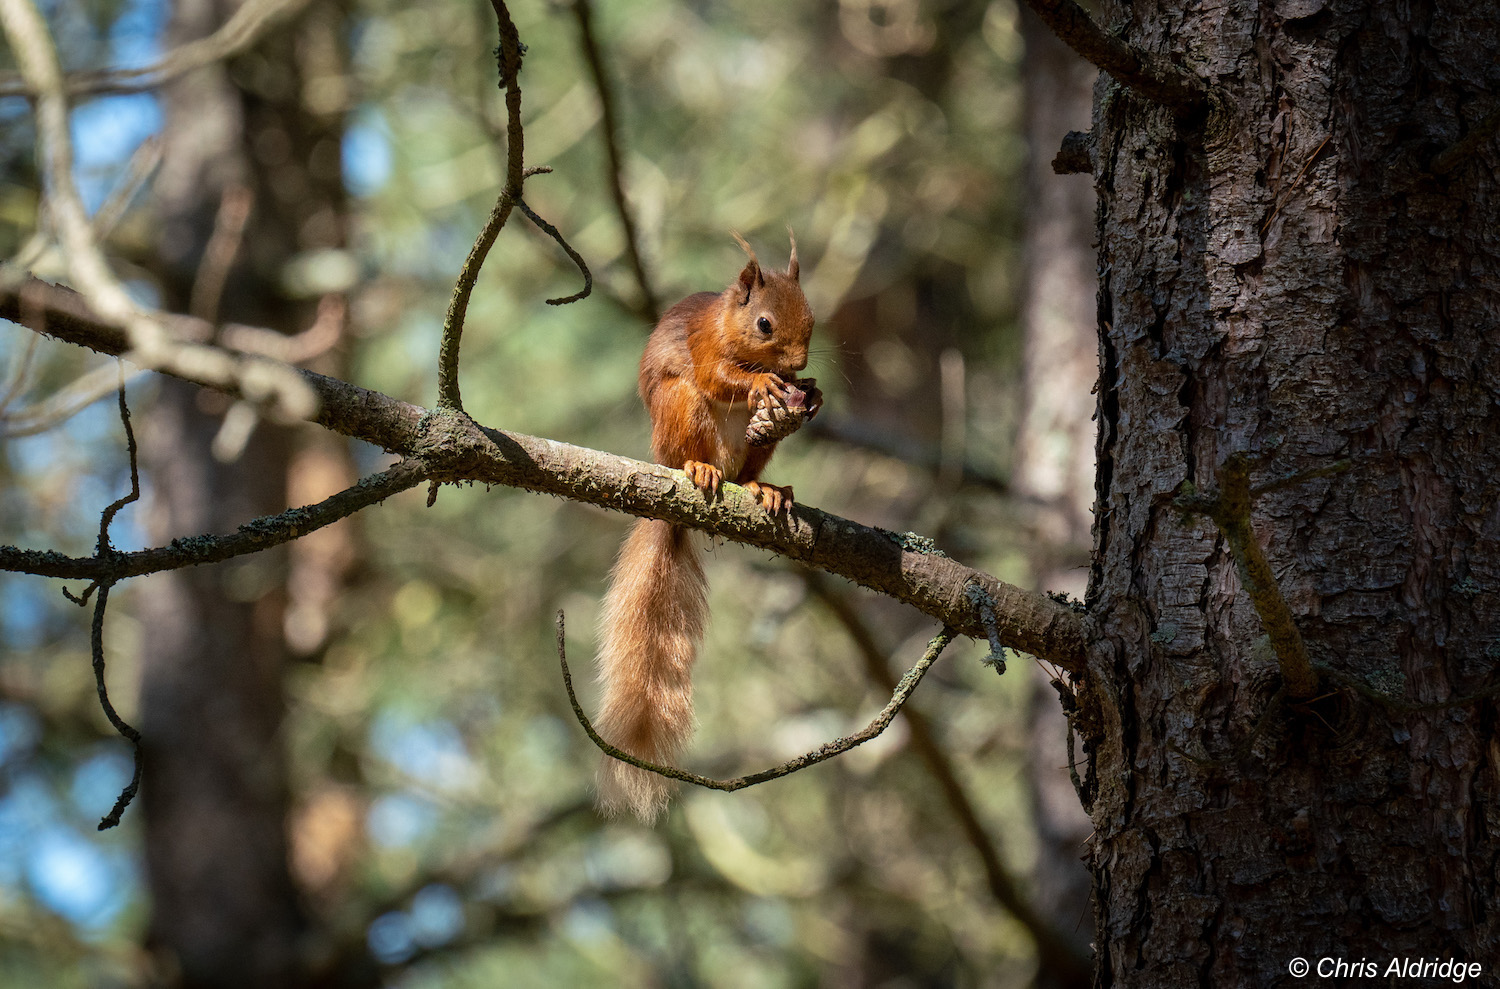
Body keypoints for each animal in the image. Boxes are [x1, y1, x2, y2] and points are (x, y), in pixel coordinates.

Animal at [593, 233, 822, 822]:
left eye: (812, 318)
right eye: (764, 323)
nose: (798, 364)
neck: (728, 325)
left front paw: (810, 391)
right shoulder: (703, 347)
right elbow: (722, 377)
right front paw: (761, 382)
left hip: (757, 448)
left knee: (748, 473)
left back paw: (768, 489)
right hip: (682, 410)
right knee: (697, 441)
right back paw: (700, 470)